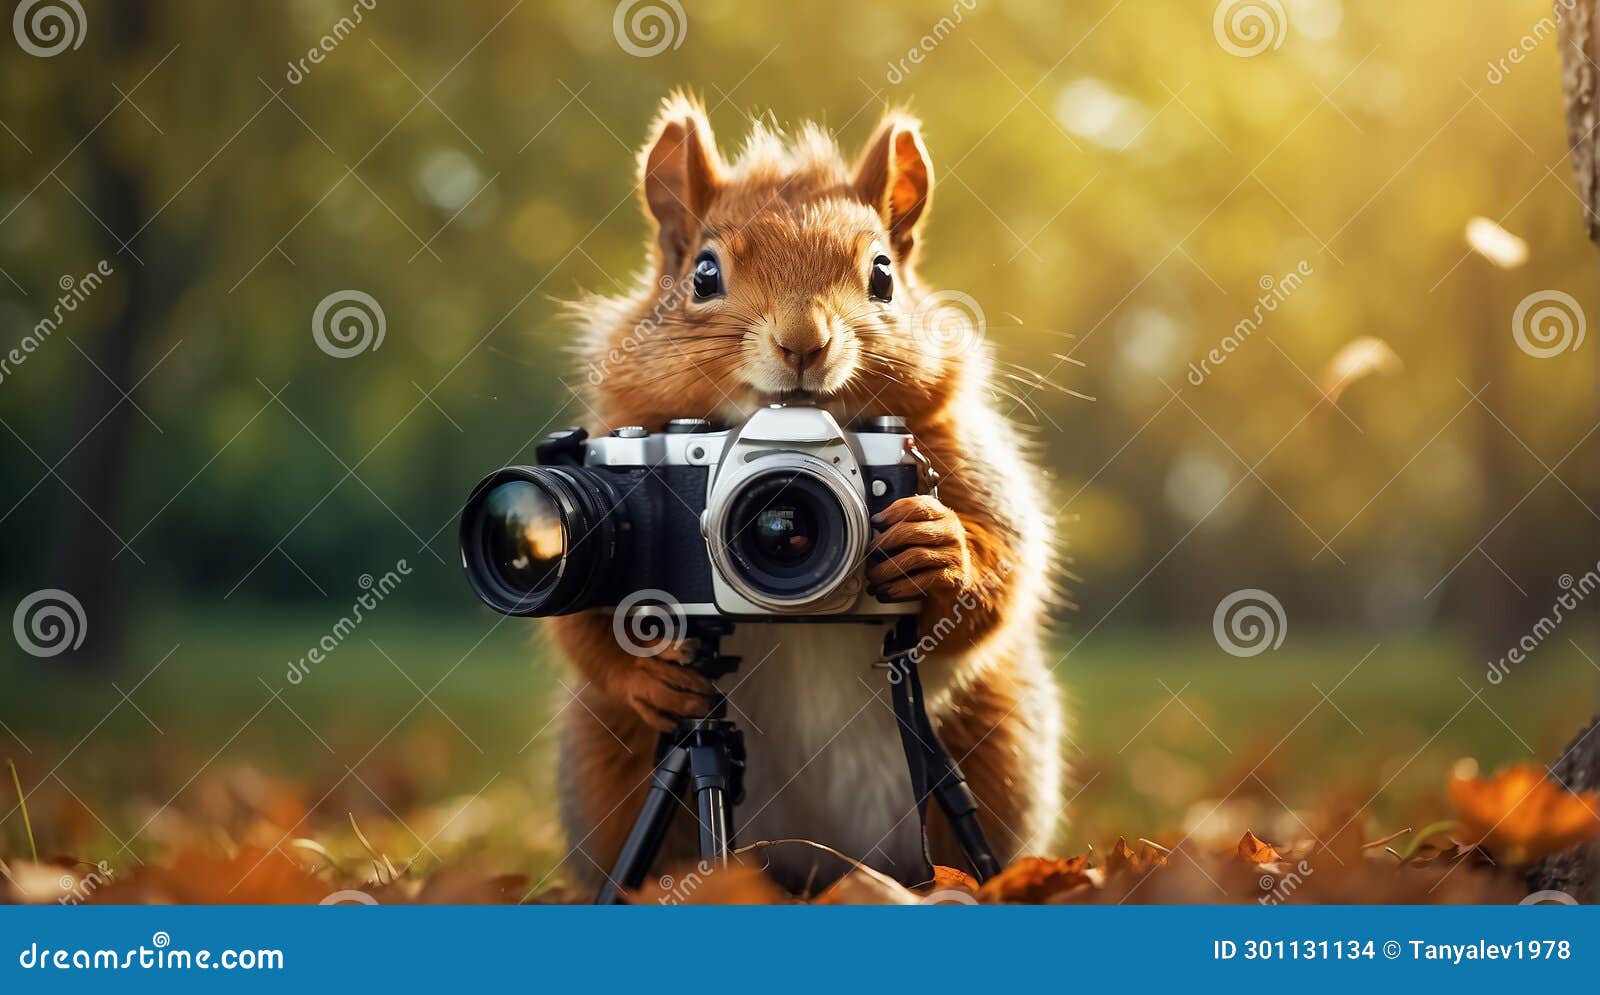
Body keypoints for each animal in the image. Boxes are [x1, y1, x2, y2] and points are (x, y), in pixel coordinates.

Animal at [551, 92, 1064, 891]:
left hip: (994, 746)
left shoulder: (959, 452)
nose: (803, 342)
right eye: (703, 274)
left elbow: (1006, 563)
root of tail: (812, 862)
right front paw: (649, 675)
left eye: (883, 275)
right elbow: (582, 612)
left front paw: (940, 549)